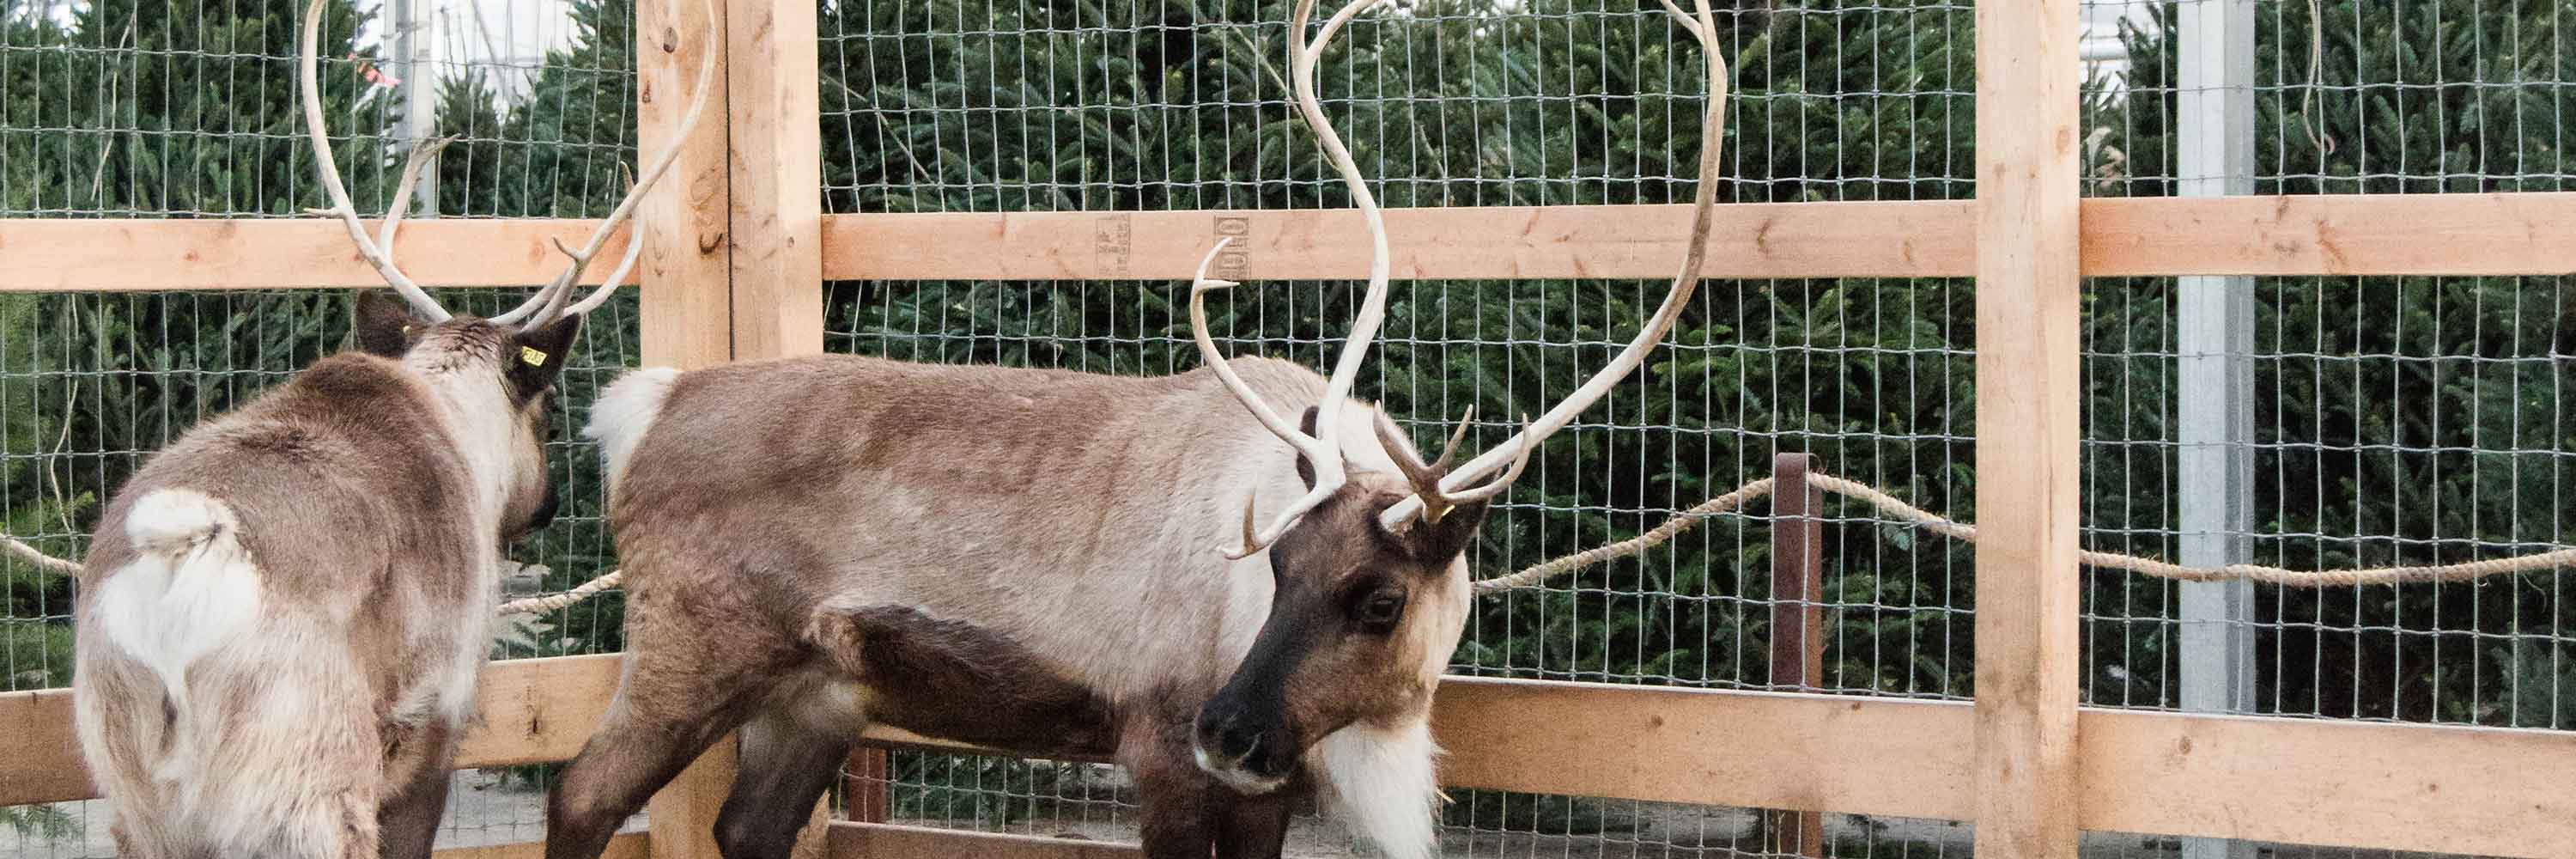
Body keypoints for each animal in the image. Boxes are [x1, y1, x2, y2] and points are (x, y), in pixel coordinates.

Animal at [65, 1, 713, 856]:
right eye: (547, 406)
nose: (546, 505)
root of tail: (180, 552)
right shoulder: (438, 714)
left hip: (136, 800)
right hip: (306, 784)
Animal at [541, 1, 1728, 857]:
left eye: (1380, 597)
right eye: (1278, 561)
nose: (1228, 726)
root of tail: (642, 406)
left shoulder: (1268, 785)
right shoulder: (1157, 748)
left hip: (816, 693)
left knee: (746, 828)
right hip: (687, 654)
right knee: (580, 796)